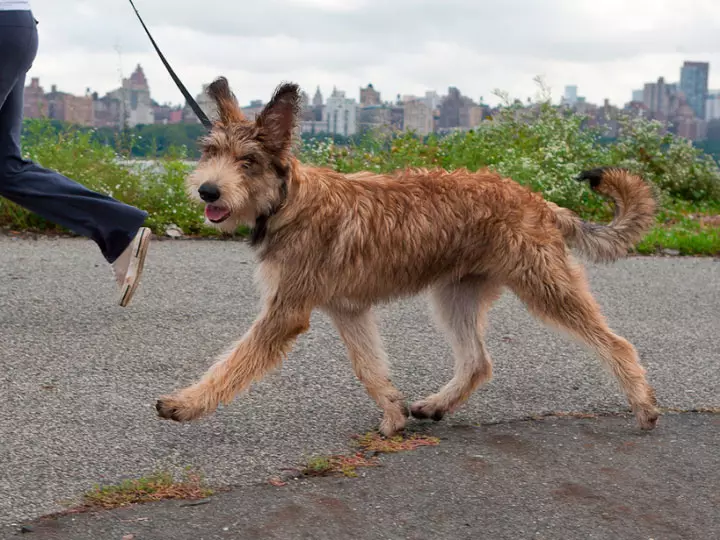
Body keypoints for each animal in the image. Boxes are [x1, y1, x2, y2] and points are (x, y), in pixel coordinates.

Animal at [156, 78, 660, 436]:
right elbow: (369, 367)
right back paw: (436, 404)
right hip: (454, 295)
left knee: (616, 343)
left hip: (545, 287)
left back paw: (643, 405)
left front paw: (187, 403)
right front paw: (393, 415)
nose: (207, 191)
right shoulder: (348, 309)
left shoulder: (286, 312)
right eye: (210, 153)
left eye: (248, 161)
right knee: (477, 362)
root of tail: (538, 201)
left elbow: (234, 364)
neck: (287, 203)